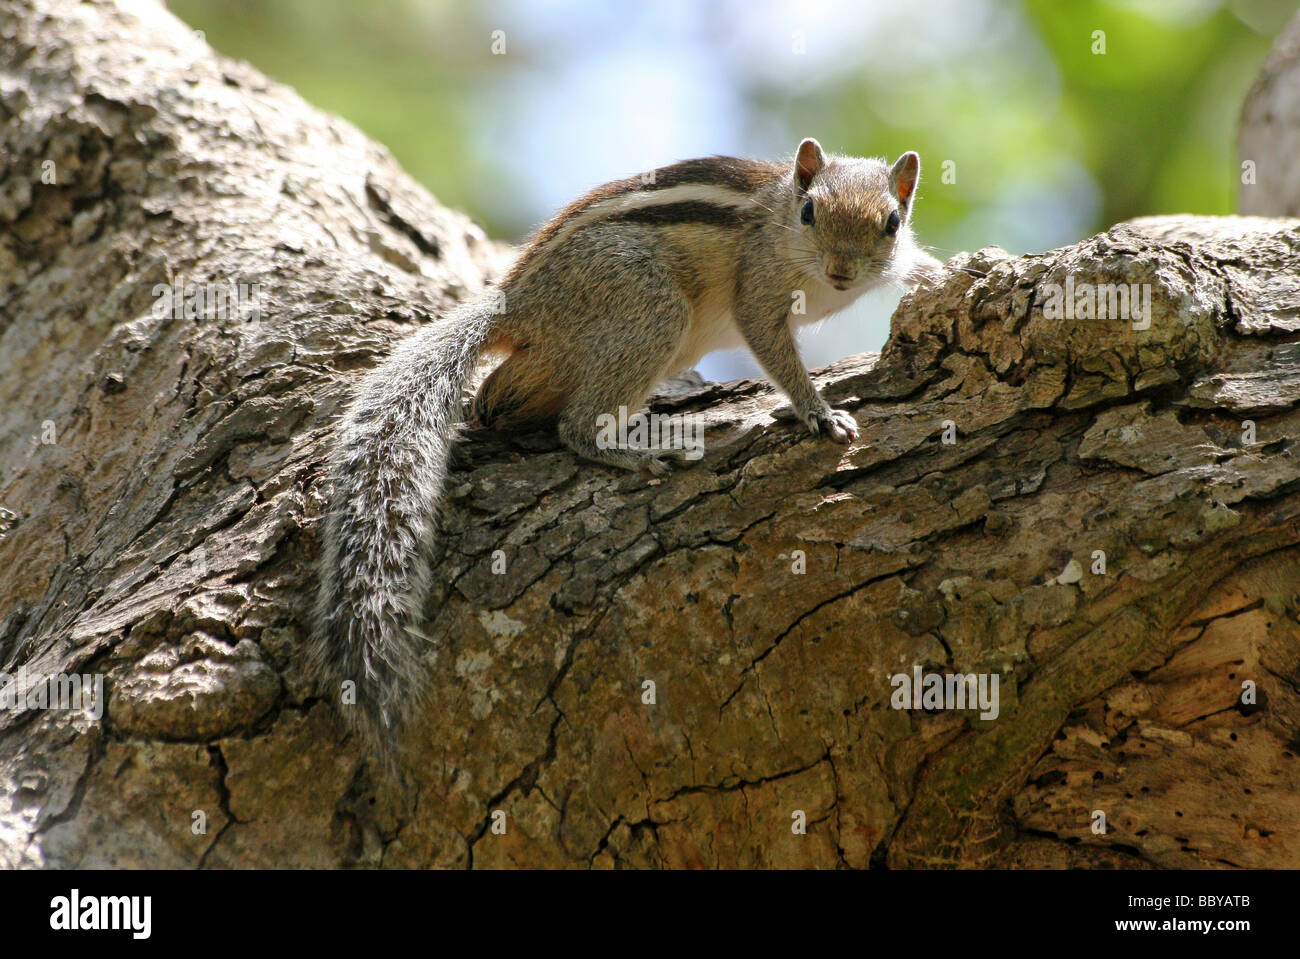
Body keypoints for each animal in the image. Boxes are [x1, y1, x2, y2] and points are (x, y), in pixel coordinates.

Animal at [312, 138, 941, 768]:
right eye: (810, 211)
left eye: (892, 222)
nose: (841, 271)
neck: (782, 220)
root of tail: (516, 303)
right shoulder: (758, 287)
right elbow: (771, 345)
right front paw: (817, 411)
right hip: (650, 309)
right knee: (572, 426)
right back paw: (630, 451)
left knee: (505, 394)